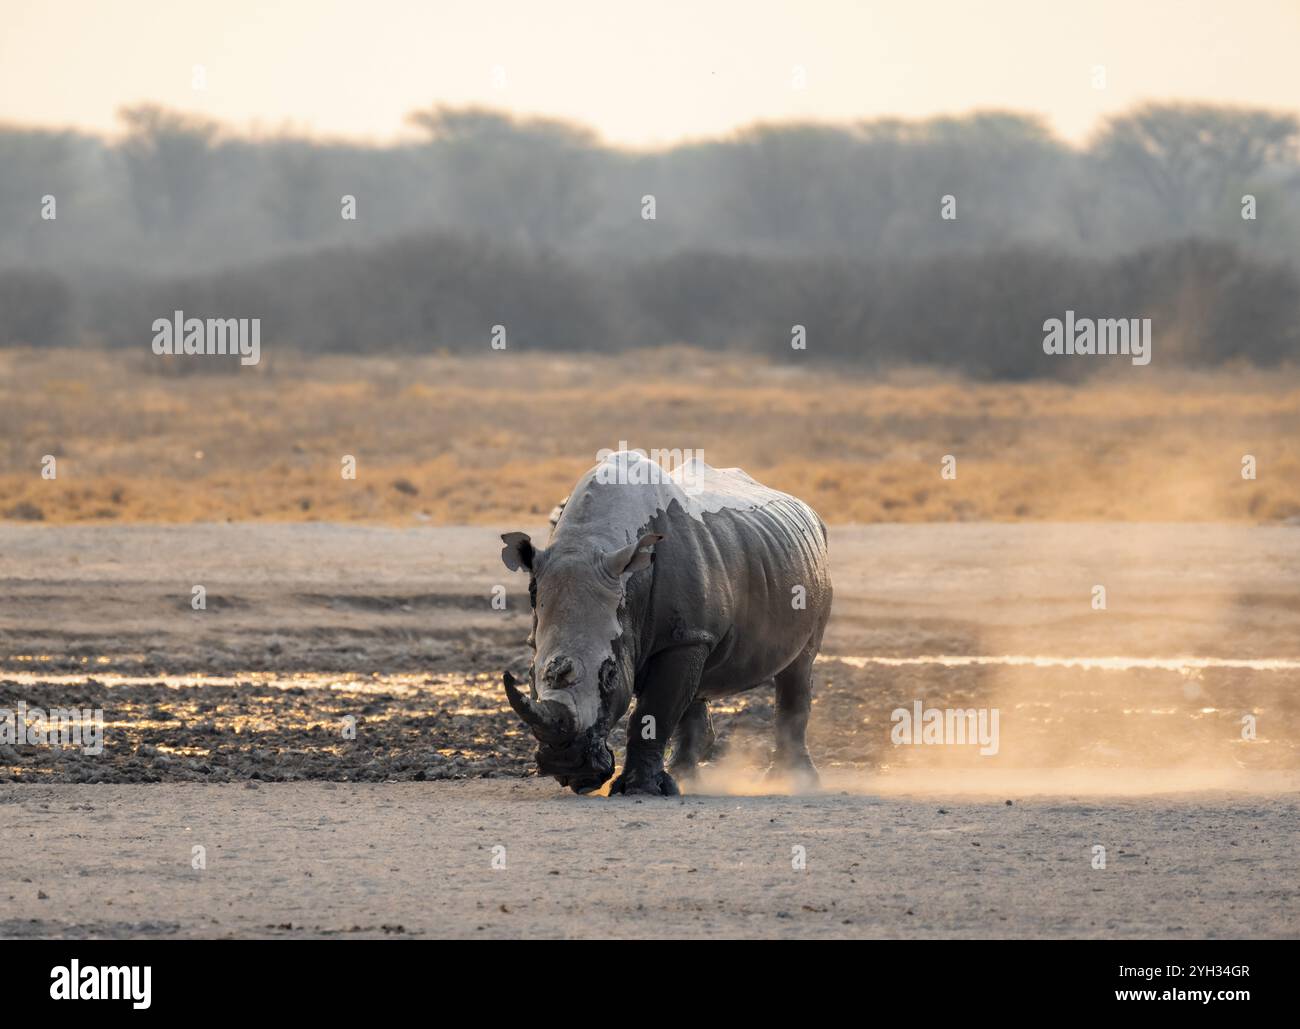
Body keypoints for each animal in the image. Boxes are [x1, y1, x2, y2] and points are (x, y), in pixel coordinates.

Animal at [500, 451, 832, 796]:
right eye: (531, 673)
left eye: (609, 675)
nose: (566, 765)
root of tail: (808, 510)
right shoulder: (686, 634)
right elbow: (668, 703)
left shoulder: (682, 638)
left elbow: (652, 713)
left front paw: (638, 789)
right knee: (698, 683)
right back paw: (685, 778)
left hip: (812, 572)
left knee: (799, 666)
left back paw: (792, 781)